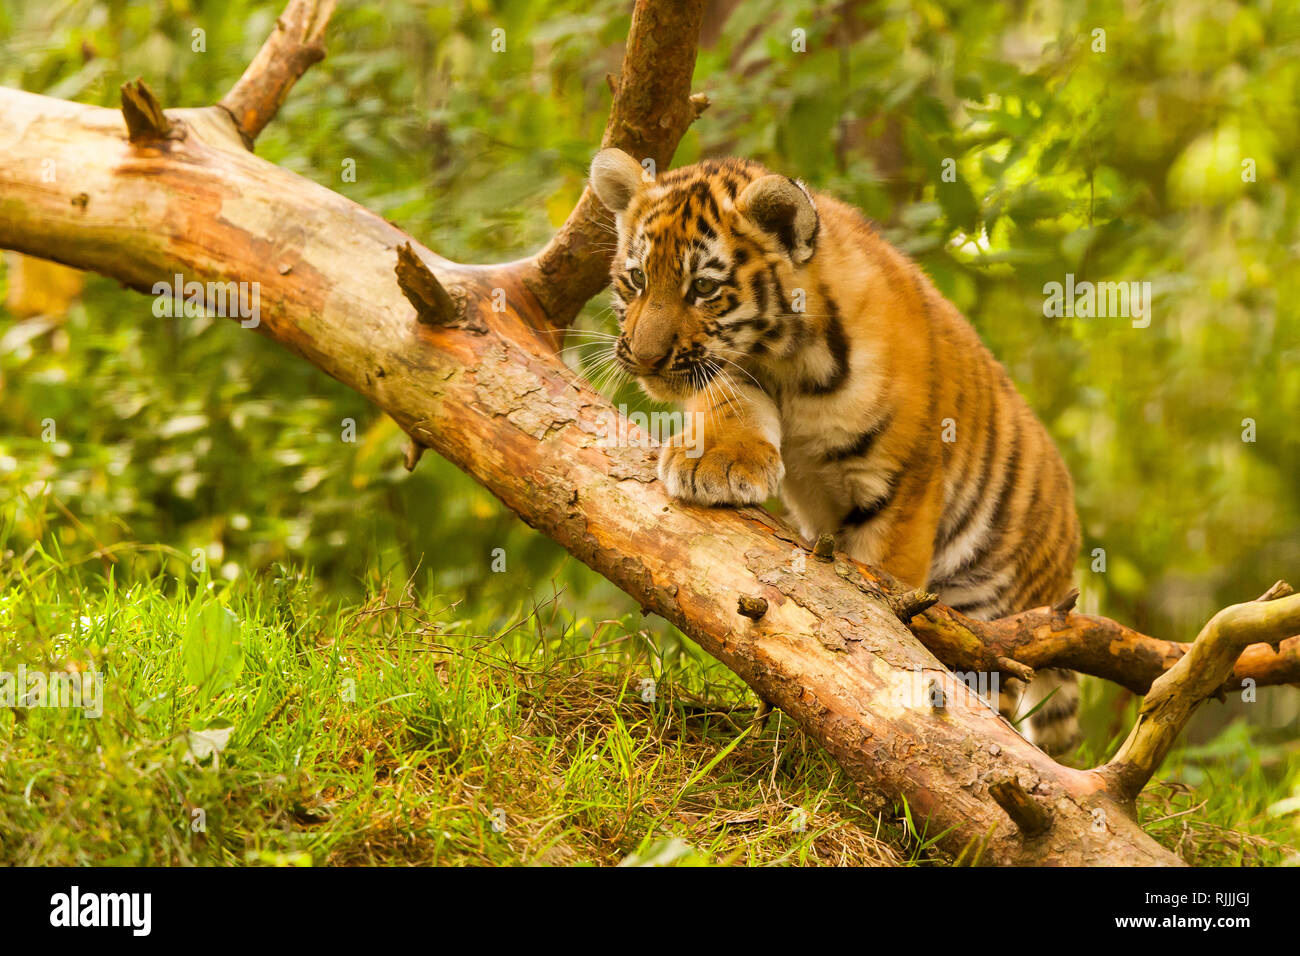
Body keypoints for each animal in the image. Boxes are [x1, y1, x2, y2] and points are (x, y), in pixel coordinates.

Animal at [587, 147, 1082, 755]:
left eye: (702, 288)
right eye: (636, 279)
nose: (645, 357)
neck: (784, 357)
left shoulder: (901, 485)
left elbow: (885, 589)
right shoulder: (735, 372)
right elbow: (731, 403)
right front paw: (715, 463)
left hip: (990, 605)